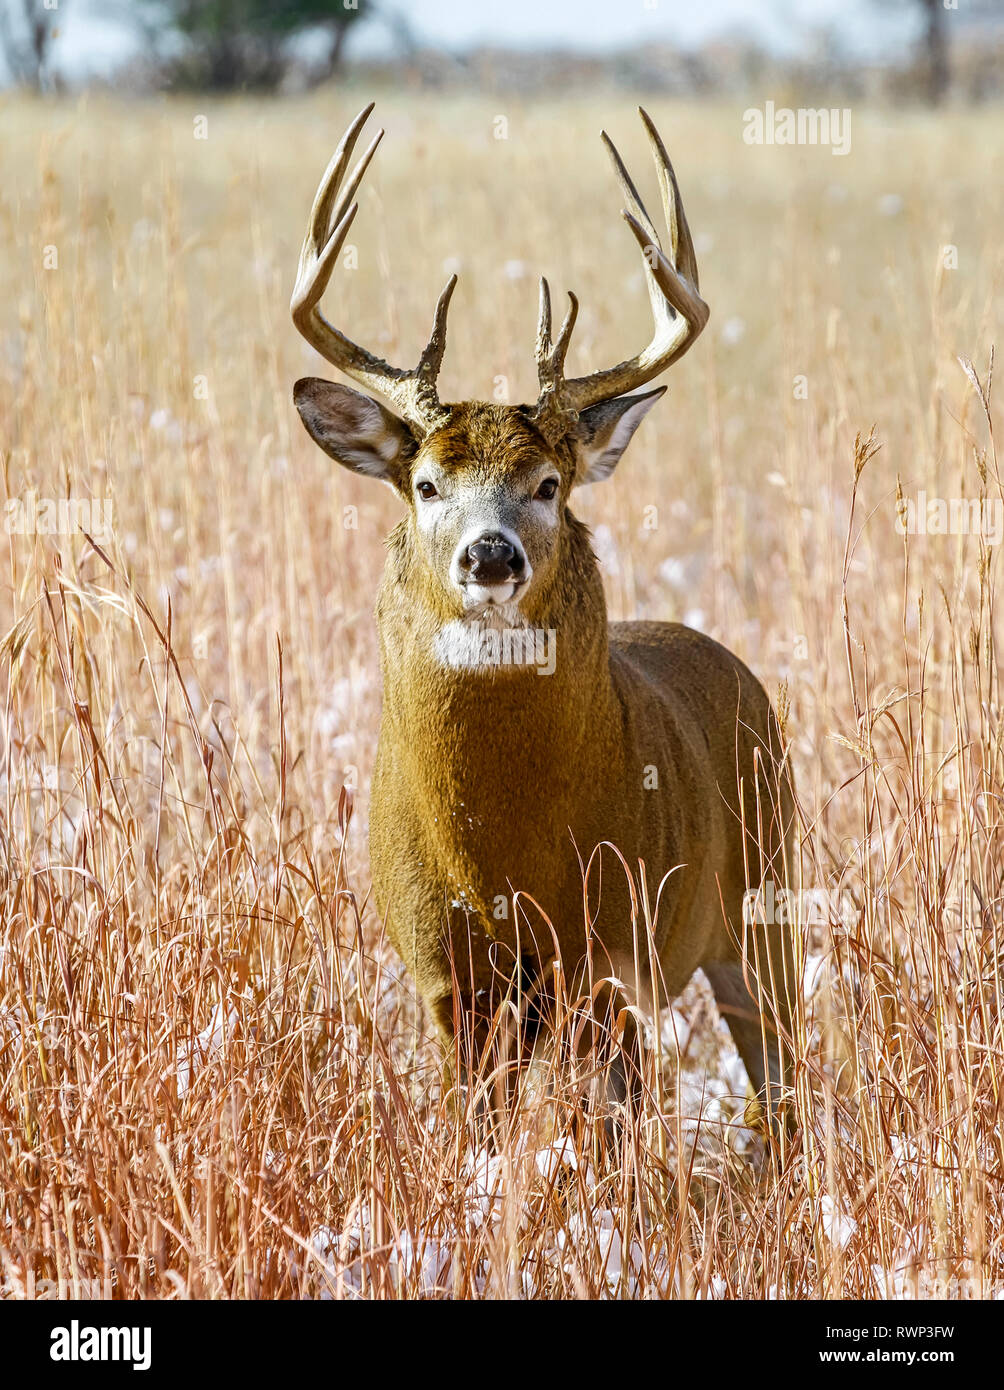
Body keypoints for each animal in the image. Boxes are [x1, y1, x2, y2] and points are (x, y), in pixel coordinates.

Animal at [290, 104, 796, 1142]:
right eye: (425, 482)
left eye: (550, 483)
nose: (490, 557)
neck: (502, 857)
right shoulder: (447, 979)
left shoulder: (612, 957)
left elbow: (614, 1131)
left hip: (760, 900)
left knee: (778, 1073)